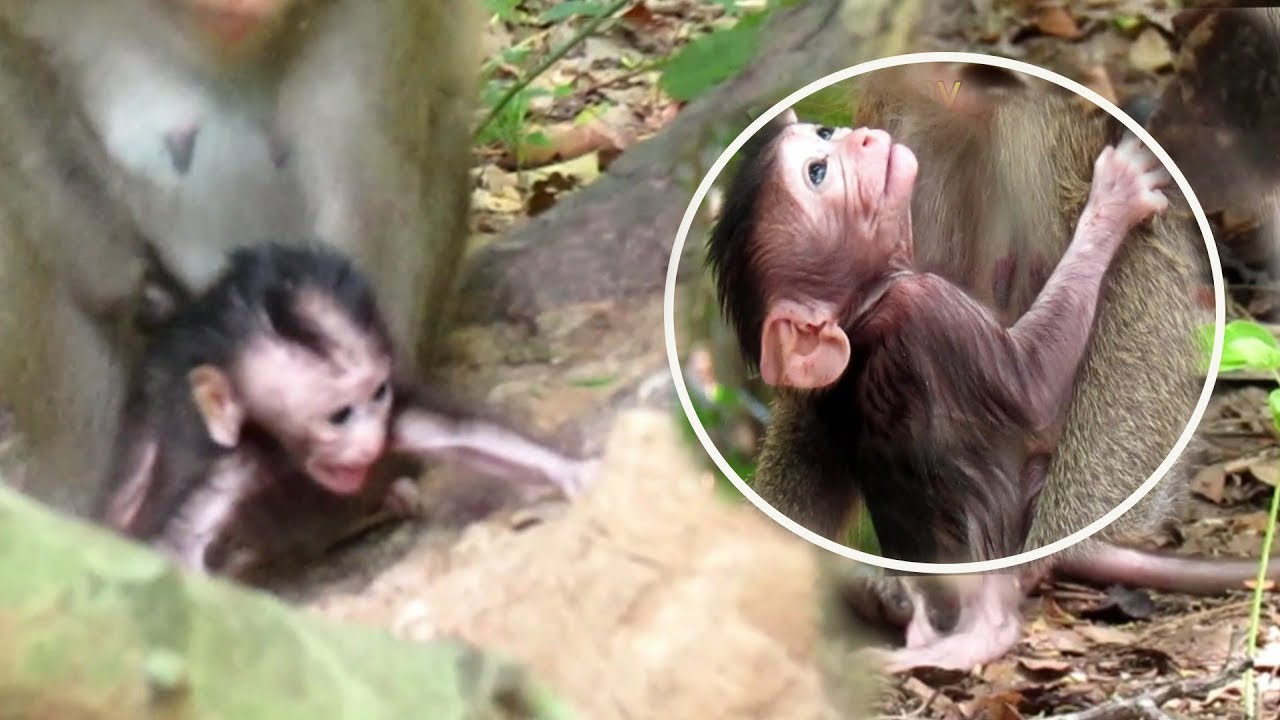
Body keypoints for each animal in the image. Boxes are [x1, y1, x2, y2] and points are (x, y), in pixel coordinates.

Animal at [95, 243, 596, 580]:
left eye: (378, 394)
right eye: (338, 417)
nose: (370, 444)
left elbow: (453, 430)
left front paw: (574, 471)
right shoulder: (227, 461)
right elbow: (173, 552)